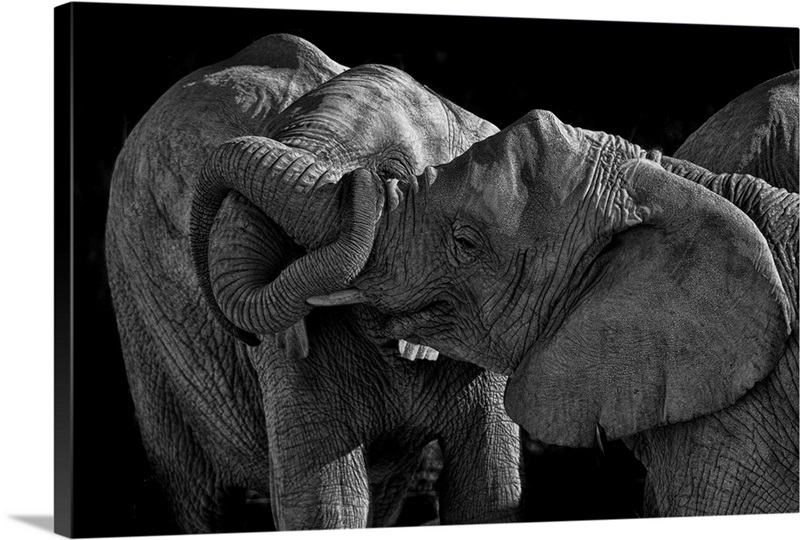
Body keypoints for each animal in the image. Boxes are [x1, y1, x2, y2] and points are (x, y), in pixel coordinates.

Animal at [106, 33, 523, 532]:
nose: (368, 186)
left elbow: (489, 492)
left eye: (393, 173)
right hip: (140, 313)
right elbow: (327, 500)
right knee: (196, 495)